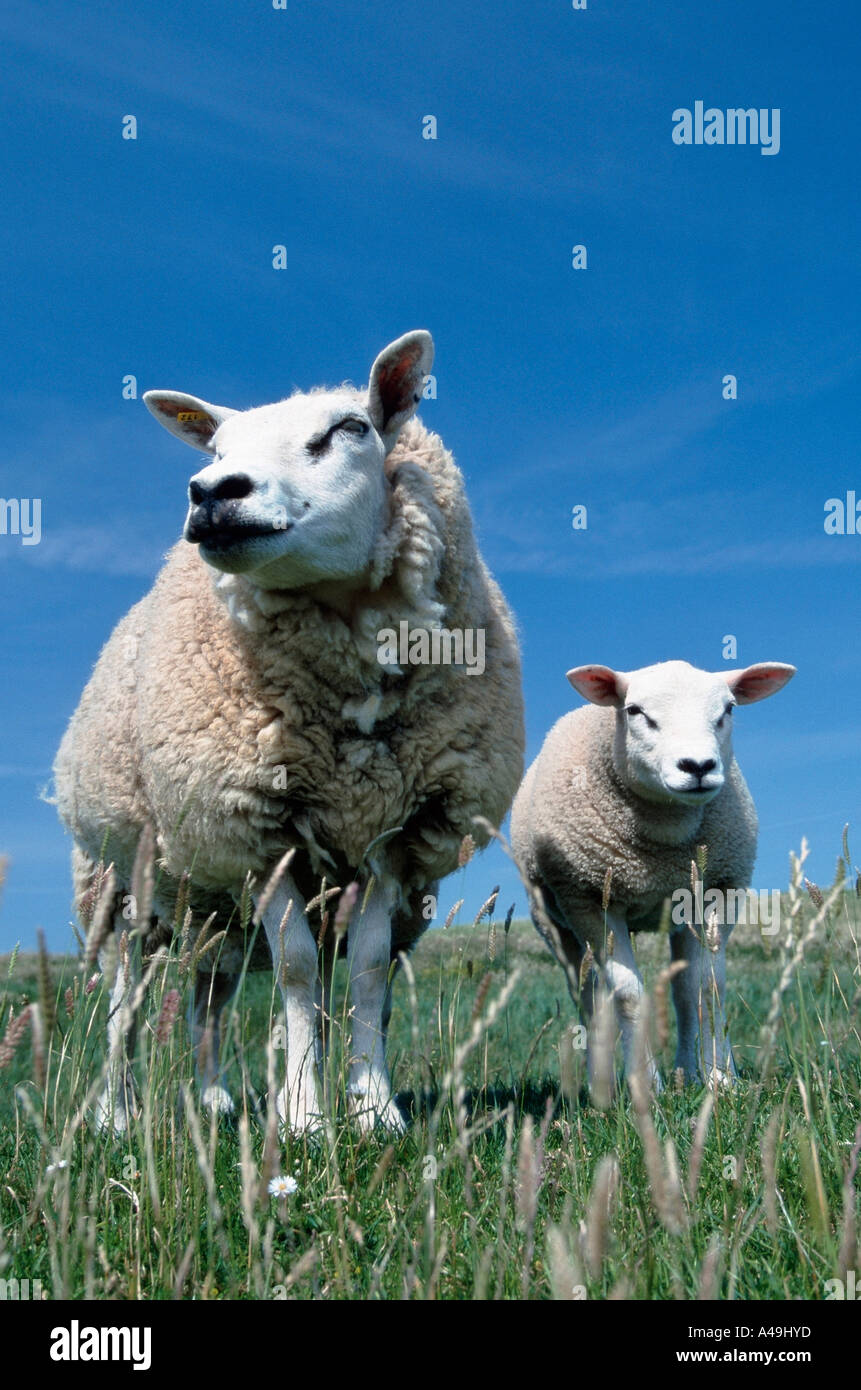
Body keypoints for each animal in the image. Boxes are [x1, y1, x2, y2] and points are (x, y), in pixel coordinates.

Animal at [54, 331, 525, 1134]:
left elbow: (364, 971)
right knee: (123, 997)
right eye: (215, 446)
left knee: (208, 999)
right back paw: (116, 1113)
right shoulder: (254, 830)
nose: (212, 492)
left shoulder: (393, 835)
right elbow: (300, 969)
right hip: (118, 881)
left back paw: (213, 1101)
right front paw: (305, 1117)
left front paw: (372, 1109)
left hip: (211, 910)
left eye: (350, 428)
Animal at [510, 659, 795, 1090]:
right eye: (634, 711)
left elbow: (708, 986)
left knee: (680, 990)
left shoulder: (719, 890)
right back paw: (599, 1084)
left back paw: (687, 1073)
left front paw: (720, 1079)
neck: (666, 838)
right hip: (552, 922)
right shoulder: (589, 901)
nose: (698, 767)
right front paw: (647, 1085)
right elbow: (627, 994)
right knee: (587, 995)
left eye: (728, 709)